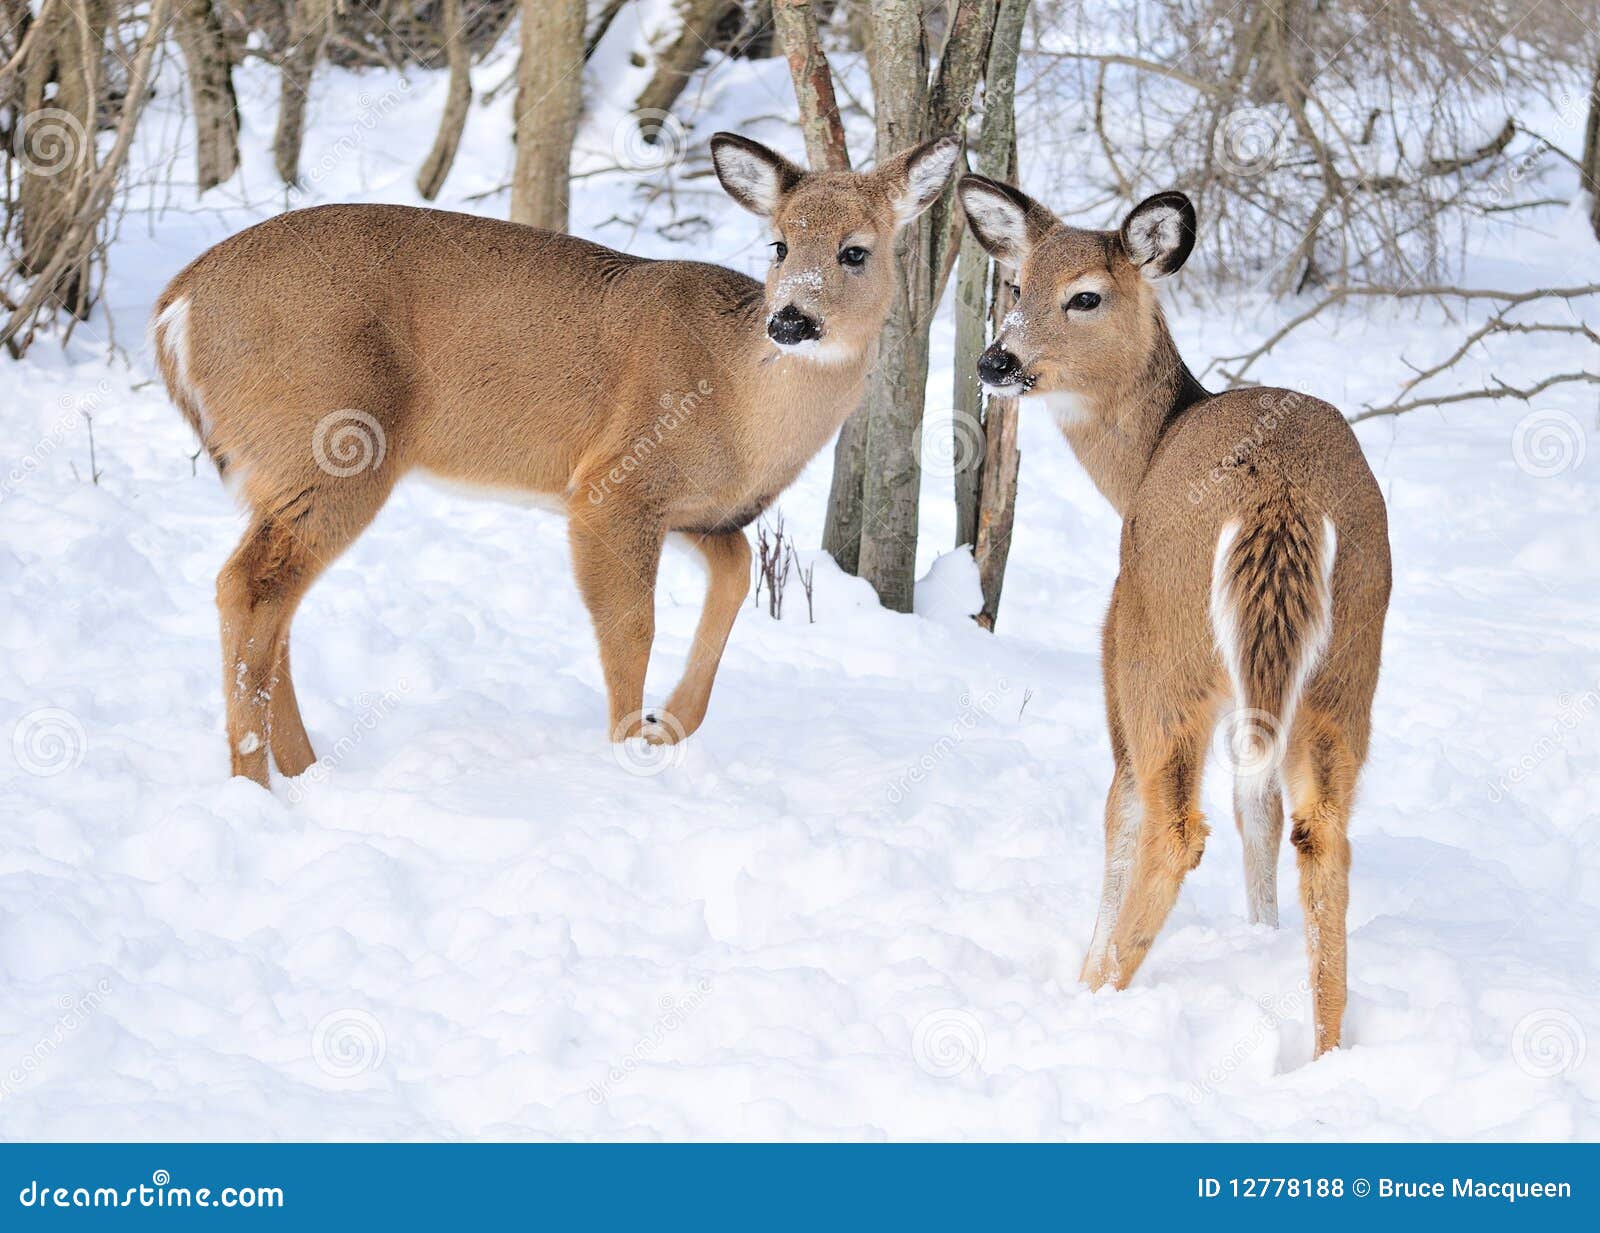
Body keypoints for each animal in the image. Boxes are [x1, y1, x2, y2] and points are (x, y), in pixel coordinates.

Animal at [151, 132, 961, 789]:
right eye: (780, 246)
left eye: (855, 250)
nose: (790, 320)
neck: (739, 401)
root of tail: (175, 305)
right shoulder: (612, 484)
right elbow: (632, 626)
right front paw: (629, 752)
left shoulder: (702, 514)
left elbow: (733, 579)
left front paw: (666, 725)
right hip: (329, 445)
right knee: (247, 587)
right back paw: (256, 783)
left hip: (277, 469)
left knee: (275, 601)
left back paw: (303, 772)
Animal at [956, 176, 1391, 1054]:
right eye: (1017, 285)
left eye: (1085, 295)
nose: (997, 360)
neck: (1144, 455)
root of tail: (1280, 501)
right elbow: (1257, 806)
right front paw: (1259, 934)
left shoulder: (1118, 640)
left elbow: (1121, 814)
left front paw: (1087, 970)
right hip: (1347, 663)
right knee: (1318, 827)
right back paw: (1325, 1044)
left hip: (1162, 647)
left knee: (1171, 822)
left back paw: (1097, 998)